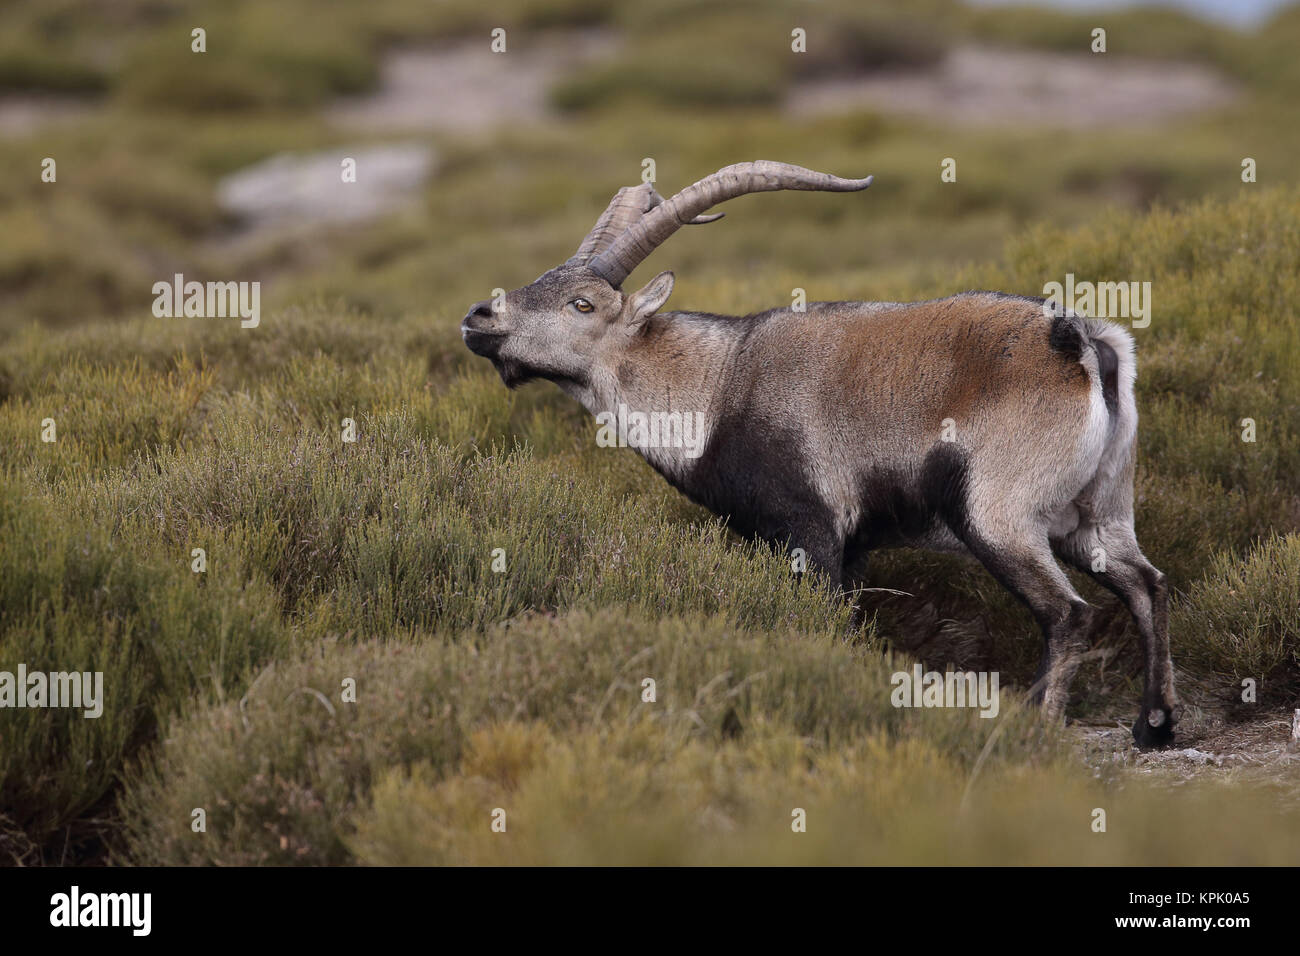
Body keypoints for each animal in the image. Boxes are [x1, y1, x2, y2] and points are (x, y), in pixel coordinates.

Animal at [461, 161, 1178, 747]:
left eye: (582, 303)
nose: (478, 319)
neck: (717, 386)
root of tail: (1081, 342)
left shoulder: (812, 529)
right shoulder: (853, 545)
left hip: (999, 514)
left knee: (1069, 613)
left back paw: (1035, 730)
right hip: (1097, 513)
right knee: (1147, 584)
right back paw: (1153, 728)